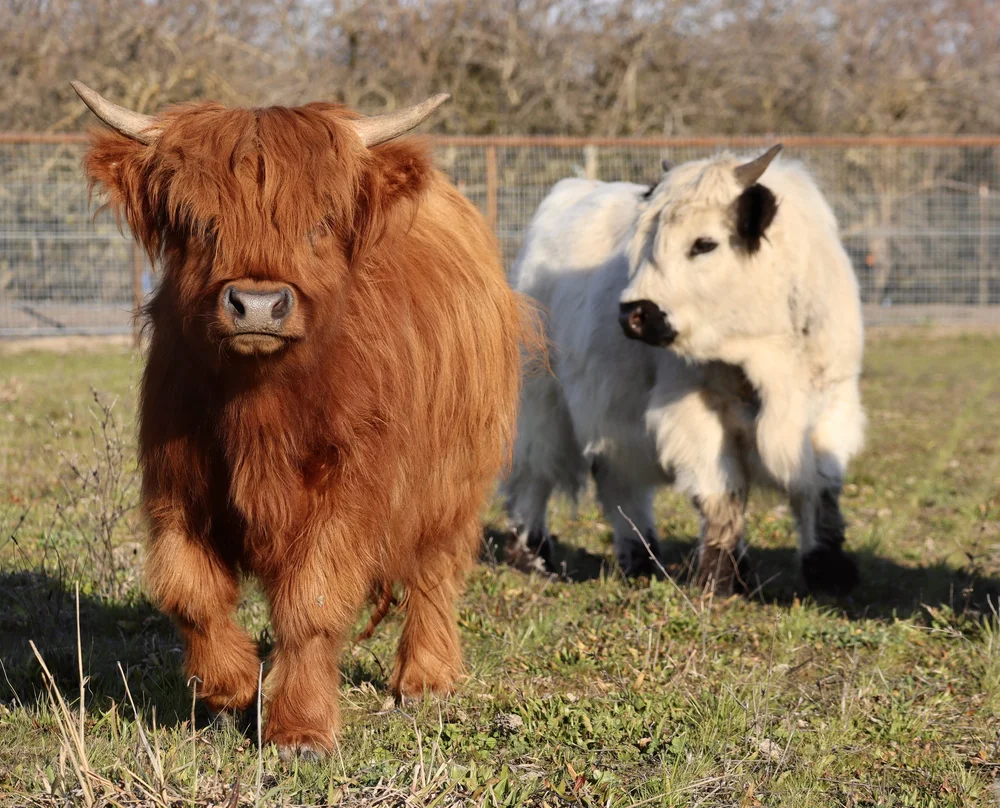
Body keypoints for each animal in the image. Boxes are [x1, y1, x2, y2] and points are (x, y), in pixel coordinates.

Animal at [73, 81, 526, 759]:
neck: (259, 409)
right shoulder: (177, 482)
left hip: (454, 478)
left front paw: (300, 728)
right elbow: (190, 591)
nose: (258, 304)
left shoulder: (349, 489)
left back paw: (427, 678)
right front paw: (232, 688)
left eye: (320, 223)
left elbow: (311, 601)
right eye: (198, 224)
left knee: (435, 571)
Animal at [503, 146, 865, 595]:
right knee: (532, 474)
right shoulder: (697, 416)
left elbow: (820, 489)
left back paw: (639, 561)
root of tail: (570, 191)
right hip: (541, 402)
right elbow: (722, 496)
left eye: (704, 244)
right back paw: (533, 558)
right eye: (646, 241)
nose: (634, 314)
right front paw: (720, 579)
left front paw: (828, 571)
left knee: (621, 485)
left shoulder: (830, 406)